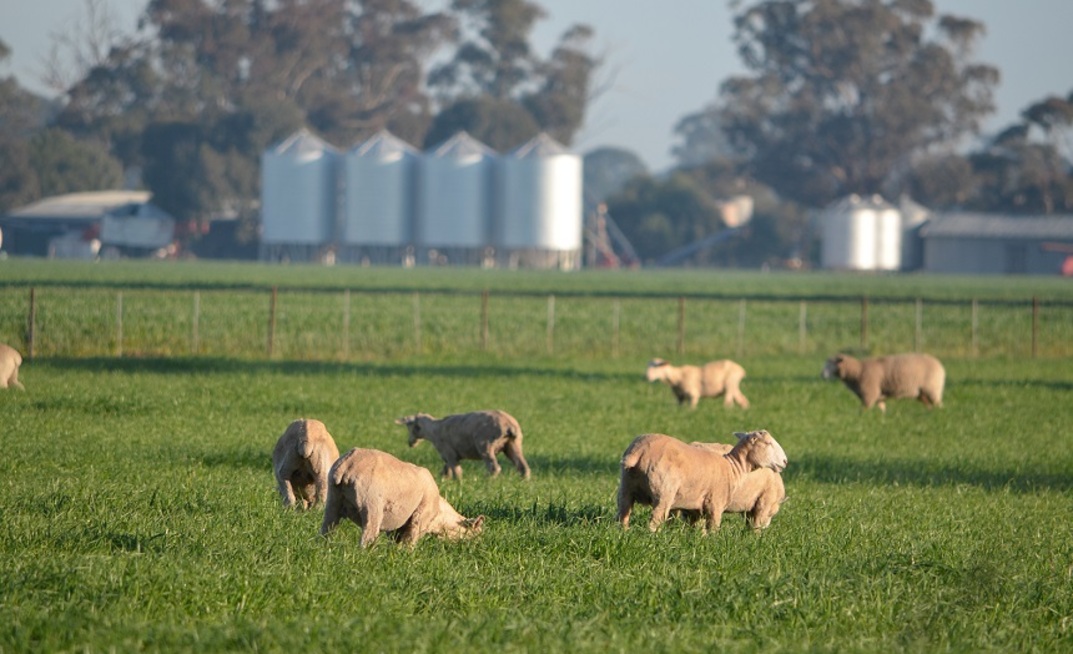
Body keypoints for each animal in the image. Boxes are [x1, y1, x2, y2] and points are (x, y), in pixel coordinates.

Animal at [320, 447, 484, 547]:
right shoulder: (420, 519)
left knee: (326, 527)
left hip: (333, 499)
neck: (439, 515)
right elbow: (409, 542)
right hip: (371, 504)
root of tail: (347, 465)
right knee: (368, 535)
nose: (477, 547)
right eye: (474, 533)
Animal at [394, 410, 530, 480]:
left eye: (409, 426)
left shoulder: (449, 452)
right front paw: (442, 478)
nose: (410, 443)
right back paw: (524, 479)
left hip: (485, 444)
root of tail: (509, 425)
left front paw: (457, 482)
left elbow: (456, 470)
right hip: (513, 444)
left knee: (494, 467)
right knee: (523, 466)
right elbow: (447, 468)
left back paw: (486, 480)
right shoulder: (449, 456)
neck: (434, 430)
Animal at [617, 430, 787, 534]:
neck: (733, 467)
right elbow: (714, 527)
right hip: (663, 492)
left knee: (622, 515)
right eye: (768, 443)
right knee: (654, 521)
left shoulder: (695, 509)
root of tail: (639, 451)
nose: (785, 461)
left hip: (626, 487)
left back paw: (623, 533)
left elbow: (696, 530)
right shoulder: (715, 504)